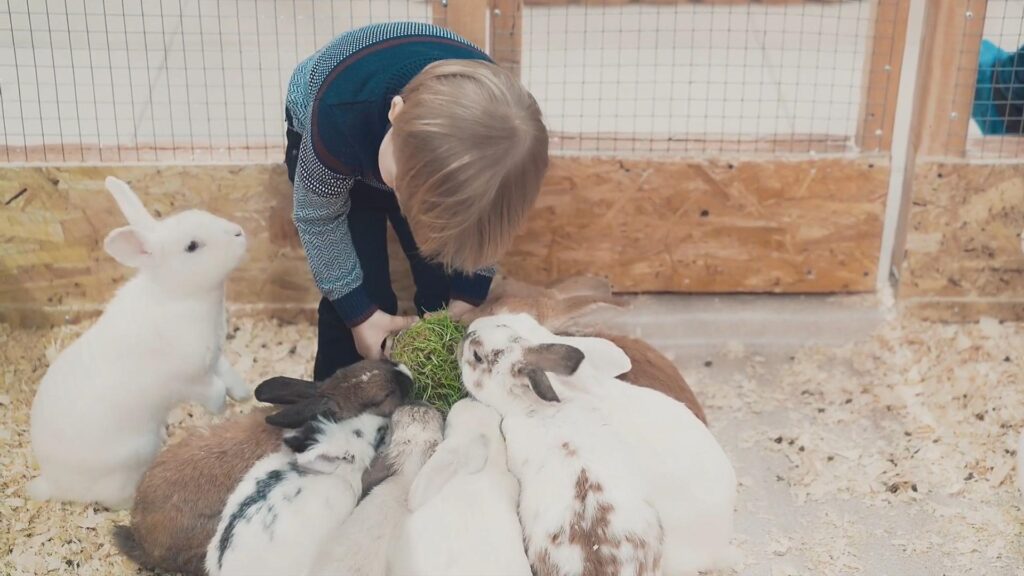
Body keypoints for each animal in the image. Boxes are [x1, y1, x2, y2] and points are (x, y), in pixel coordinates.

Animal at [28, 176, 248, 510]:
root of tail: (52, 482)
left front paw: (245, 395)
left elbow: (229, 375)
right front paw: (223, 409)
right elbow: (214, 391)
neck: (178, 296)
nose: (239, 232)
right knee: (114, 499)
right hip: (130, 461)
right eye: (192, 246)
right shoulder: (189, 380)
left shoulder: (214, 358)